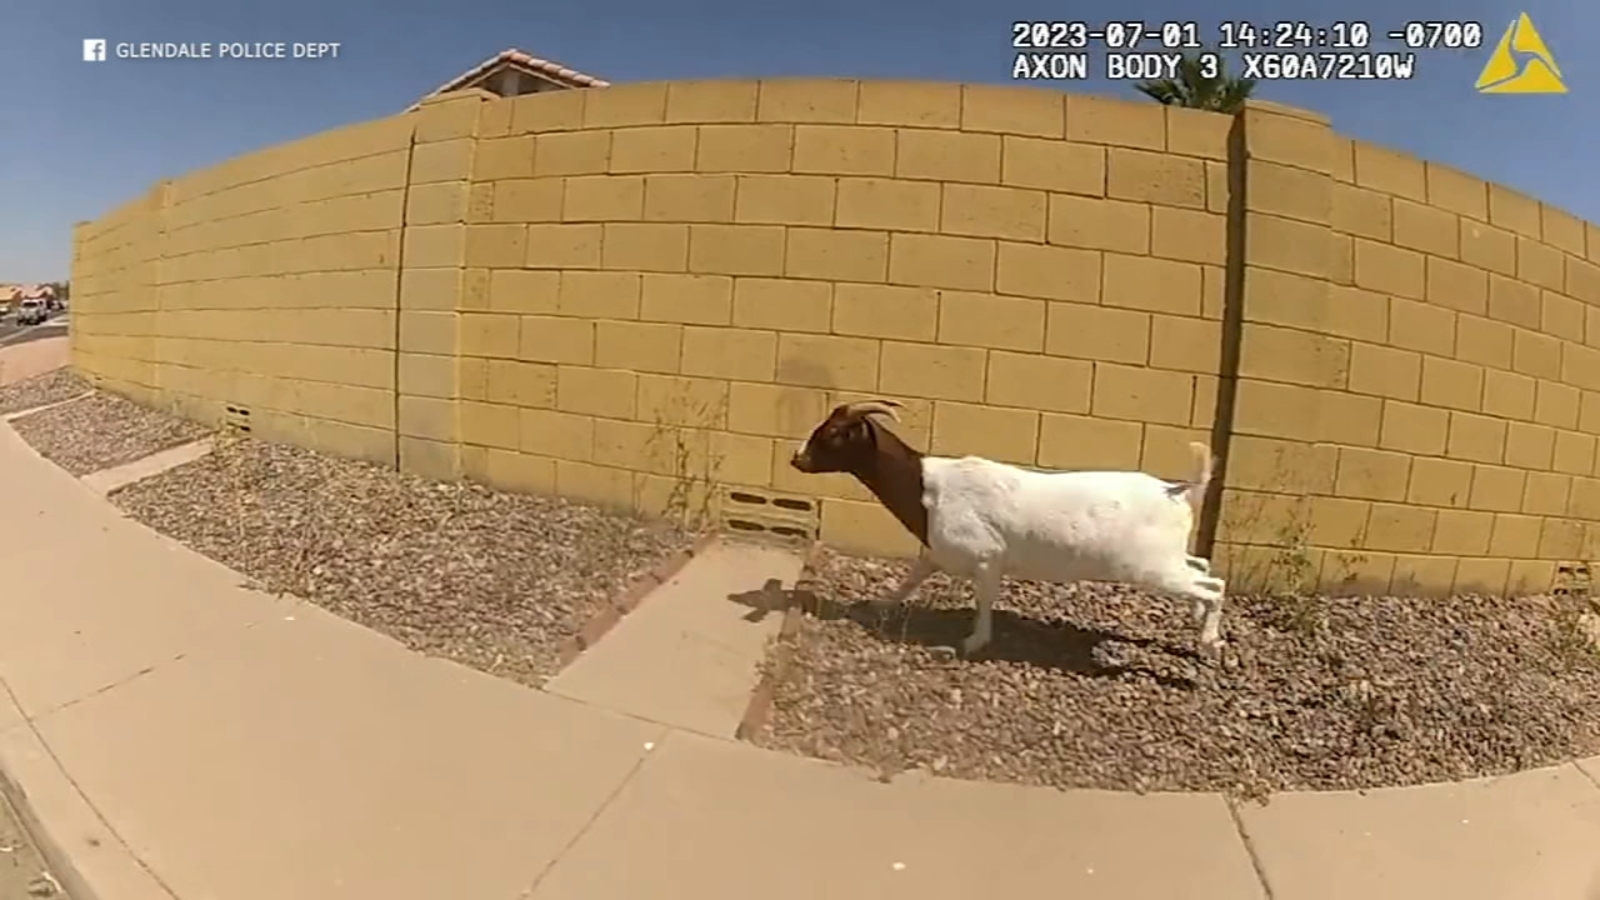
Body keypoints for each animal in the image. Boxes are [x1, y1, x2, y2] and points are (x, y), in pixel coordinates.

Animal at [789, 399, 1226, 657]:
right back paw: (1198, 620)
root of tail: (1177, 492)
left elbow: (984, 601)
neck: (927, 488)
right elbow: (911, 579)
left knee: (1213, 586)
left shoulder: (986, 557)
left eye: (833, 433)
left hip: (1151, 567)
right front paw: (879, 605)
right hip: (1168, 558)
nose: (796, 459)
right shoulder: (936, 552)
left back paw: (1207, 639)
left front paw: (974, 642)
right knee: (1204, 569)